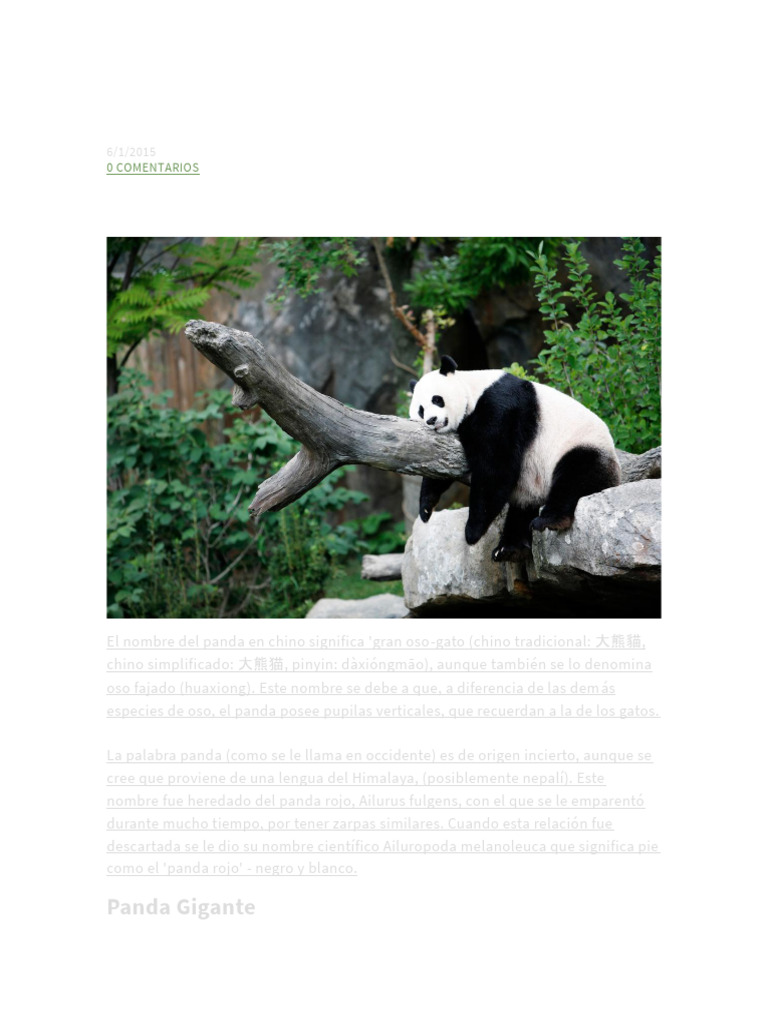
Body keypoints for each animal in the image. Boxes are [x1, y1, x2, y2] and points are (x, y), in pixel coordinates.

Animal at [409, 356, 620, 562]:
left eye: (437, 399)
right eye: (421, 410)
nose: (431, 420)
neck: (473, 390)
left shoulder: (500, 407)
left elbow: (495, 466)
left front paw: (472, 531)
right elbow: (440, 464)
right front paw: (426, 509)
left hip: (582, 446)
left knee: (574, 477)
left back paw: (549, 520)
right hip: (531, 485)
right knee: (522, 508)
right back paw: (509, 549)